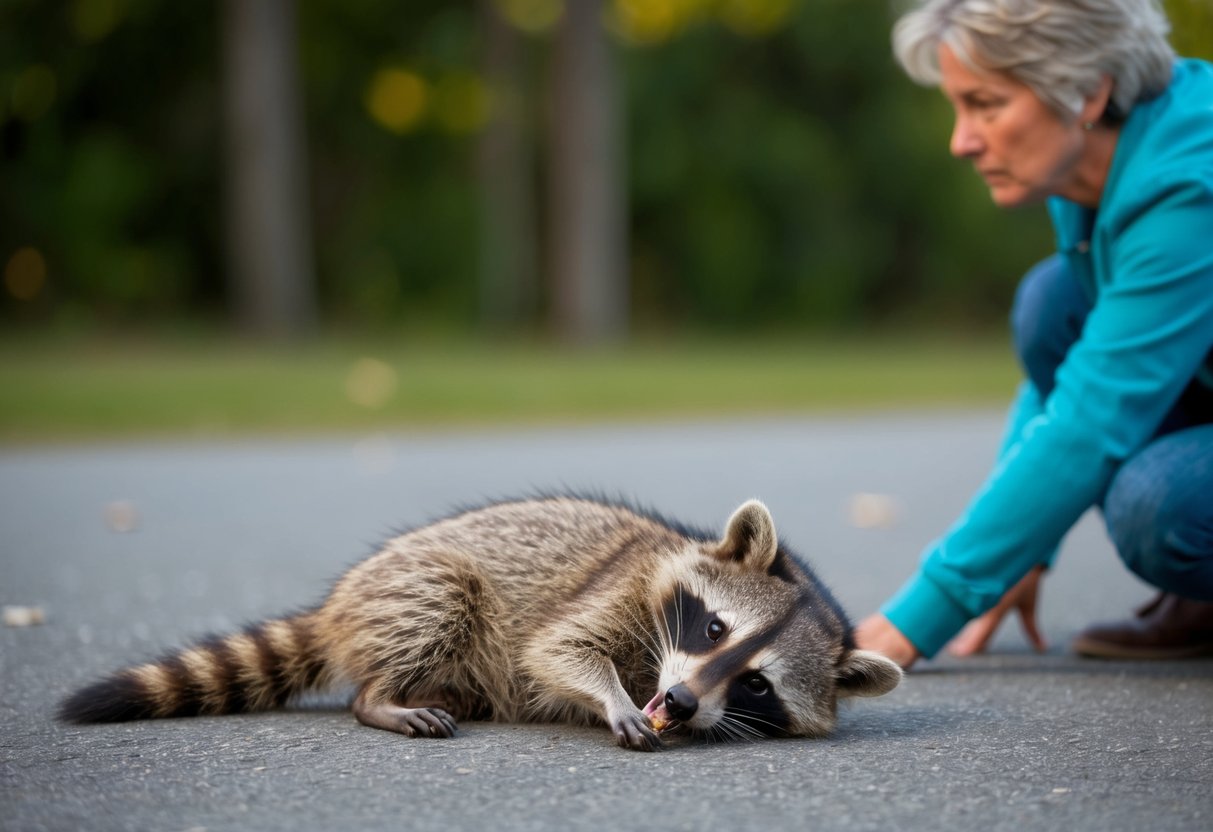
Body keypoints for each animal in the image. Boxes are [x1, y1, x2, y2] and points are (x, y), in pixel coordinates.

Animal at [59, 496, 900, 750]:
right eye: (715, 630)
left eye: (757, 685)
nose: (685, 702)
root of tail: (341, 603)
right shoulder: (619, 586)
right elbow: (557, 648)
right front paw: (612, 695)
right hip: (415, 583)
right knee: (441, 596)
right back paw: (381, 697)